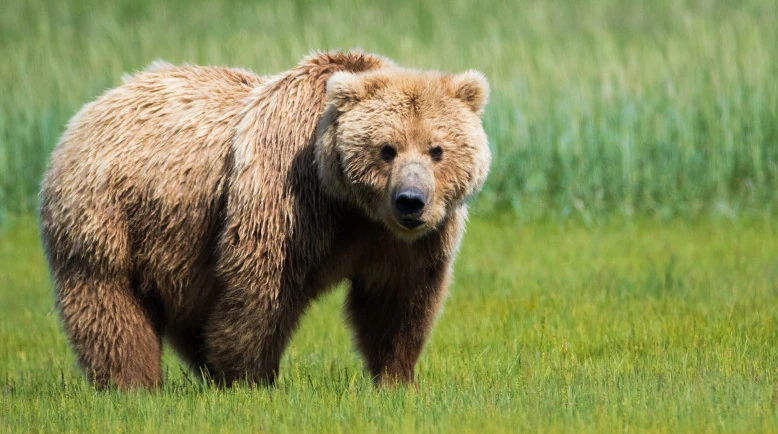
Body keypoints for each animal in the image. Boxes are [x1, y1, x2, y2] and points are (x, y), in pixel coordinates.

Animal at [39, 51, 490, 389]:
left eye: (437, 149)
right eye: (386, 149)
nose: (410, 201)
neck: (350, 204)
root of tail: (88, 110)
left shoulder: (402, 242)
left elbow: (397, 300)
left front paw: (396, 378)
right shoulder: (288, 197)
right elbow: (262, 287)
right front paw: (250, 378)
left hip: (177, 246)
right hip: (107, 215)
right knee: (109, 307)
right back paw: (133, 385)